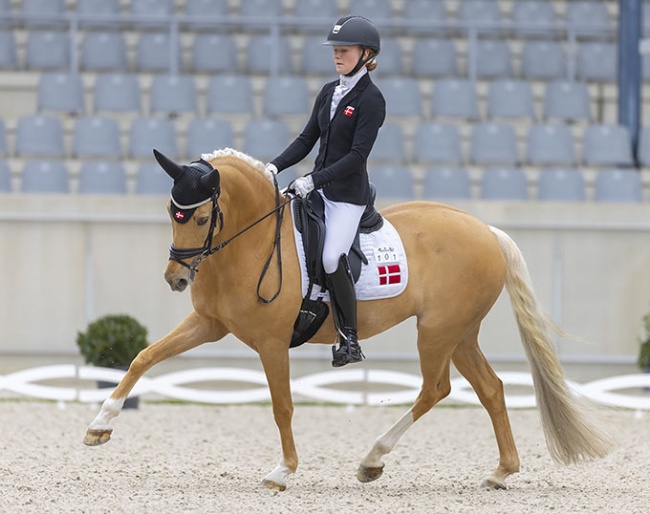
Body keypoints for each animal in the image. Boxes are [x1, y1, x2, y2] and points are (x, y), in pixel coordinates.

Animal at [83, 148, 613, 491]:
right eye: (170, 212)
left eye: (196, 218)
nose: (175, 278)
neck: (251, 241)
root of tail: (485, 229)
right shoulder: (209, 325)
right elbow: (143, 356)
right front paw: (100, 425)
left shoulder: (271, 343)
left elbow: (282, 406)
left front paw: (283, 471)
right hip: (460, 333)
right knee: (491, 389)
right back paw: (500, 472)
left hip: (437, 331)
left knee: (435, 389)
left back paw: (372, 460)